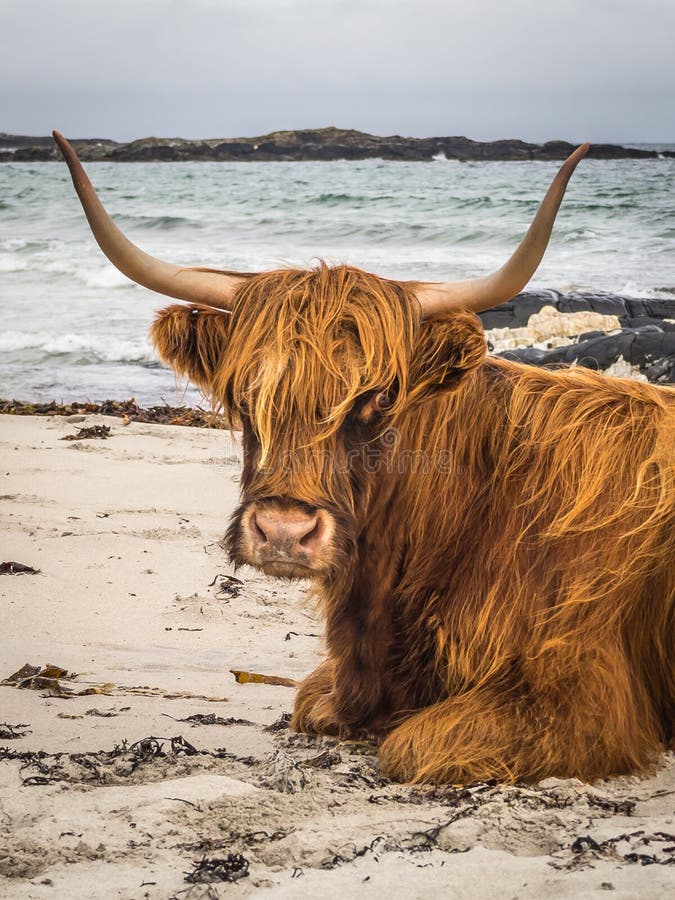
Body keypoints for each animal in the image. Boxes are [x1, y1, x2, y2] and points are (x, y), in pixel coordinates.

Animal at [53, 132, 674, 784]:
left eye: (380, 396)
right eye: (243, 392)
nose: (283, 531)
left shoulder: (583, 699)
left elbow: (410, 746)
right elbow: (310, 701)